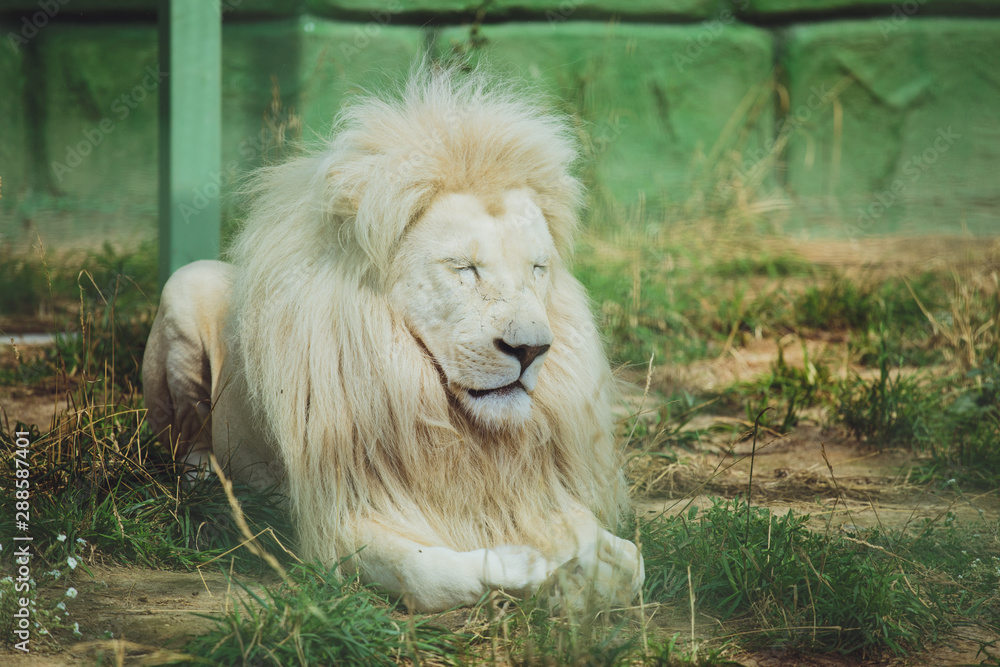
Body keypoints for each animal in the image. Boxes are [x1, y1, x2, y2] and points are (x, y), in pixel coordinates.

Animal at [142, 62, 644, 612]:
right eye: (464, 267)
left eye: (538, 268)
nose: (532, 350)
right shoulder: (338, 518)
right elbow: (427, 572)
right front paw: (532, 568)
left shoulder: (535, 490)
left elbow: (626, 559)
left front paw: (588, 573)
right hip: (183, 287)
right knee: (185, 450)